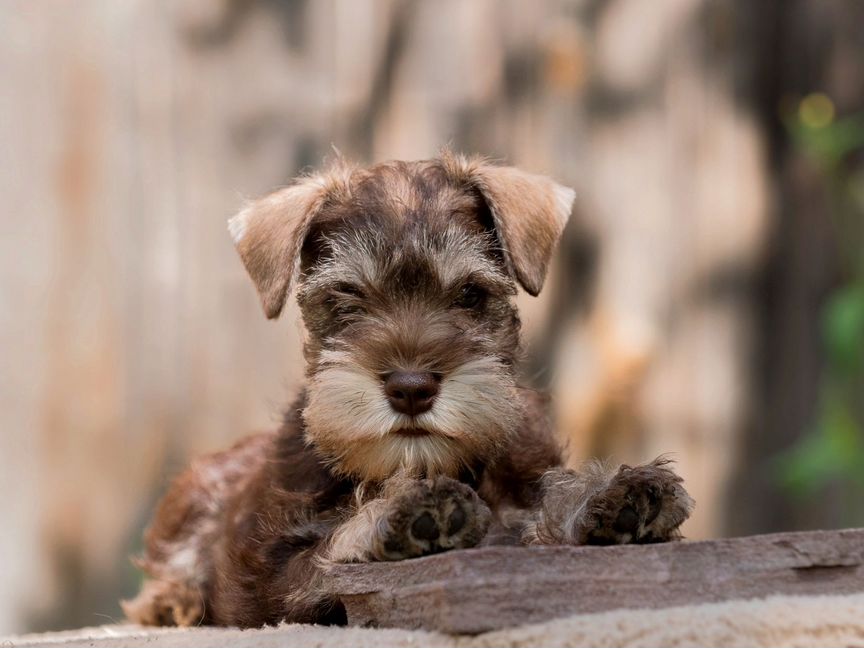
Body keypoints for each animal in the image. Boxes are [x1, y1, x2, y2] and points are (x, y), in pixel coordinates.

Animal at [123, 152, 696, 628]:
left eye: (470, 293)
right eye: (345, 297)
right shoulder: (268, 574)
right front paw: (410, 514)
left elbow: (542, 502)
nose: (412, 387)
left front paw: (616, 495)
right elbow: (328, 548)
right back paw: (172, 603)